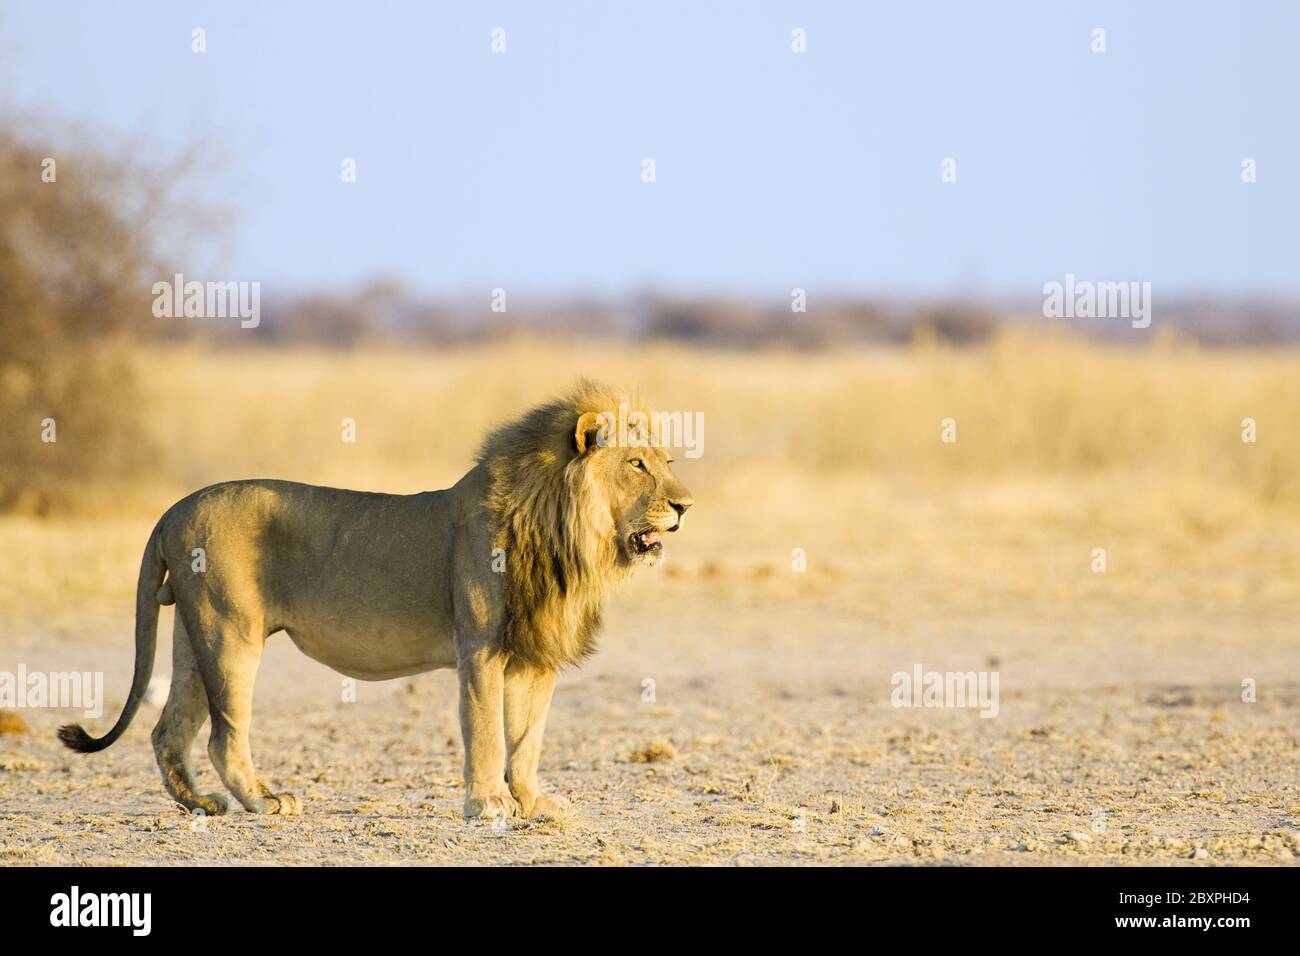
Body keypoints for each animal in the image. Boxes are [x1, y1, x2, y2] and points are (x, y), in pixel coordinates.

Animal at [58, 380, 693, 820]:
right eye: (636, 463)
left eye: (666, 463)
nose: (686, 506)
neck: (566, 536)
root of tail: (173, 509)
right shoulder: (481, 647)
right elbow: (487, 731)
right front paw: (489, 804)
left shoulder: (536, 656)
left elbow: (528, 738)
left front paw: (534, 804)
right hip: (228, 631)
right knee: (222, 735)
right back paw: (264, 802)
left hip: (192, 636)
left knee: (169, 730)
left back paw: (200, 805)